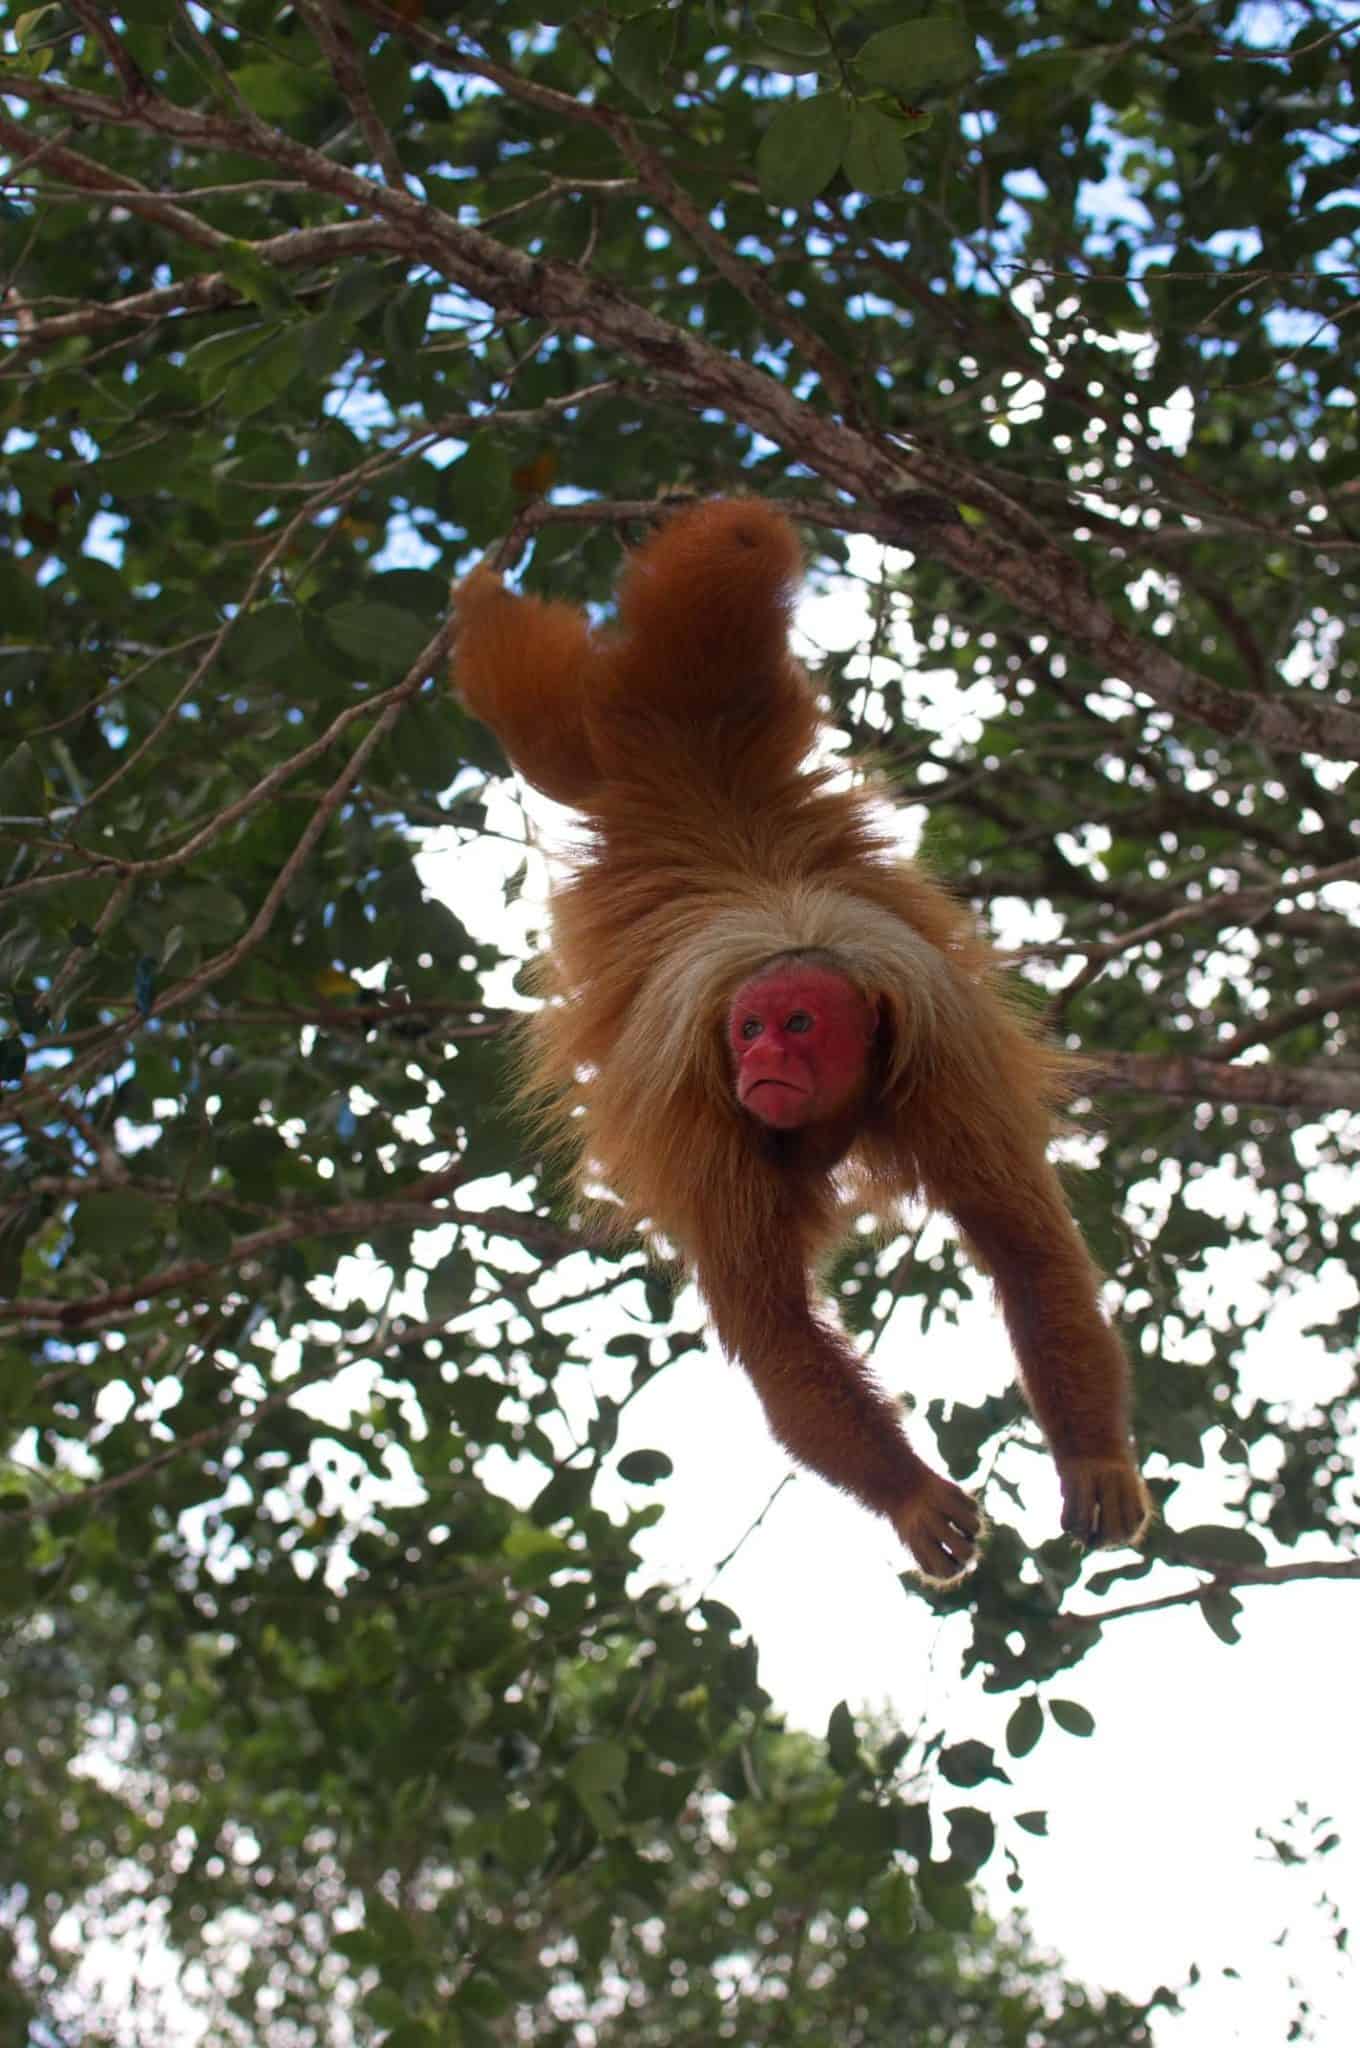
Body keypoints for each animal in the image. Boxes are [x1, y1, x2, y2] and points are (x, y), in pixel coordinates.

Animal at [452, 498, 1151, 1582]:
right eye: (747, 1029)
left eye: (797, 1024)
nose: (762, 1064)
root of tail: (690, 755)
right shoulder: (702, 1115)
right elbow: (775, 1328)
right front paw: (910, 1494)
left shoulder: (946, 1071)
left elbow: (1031, 1255)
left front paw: (1095, 1457)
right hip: (613, 745)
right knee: (536, 726)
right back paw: (484, 603)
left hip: (733, 713)